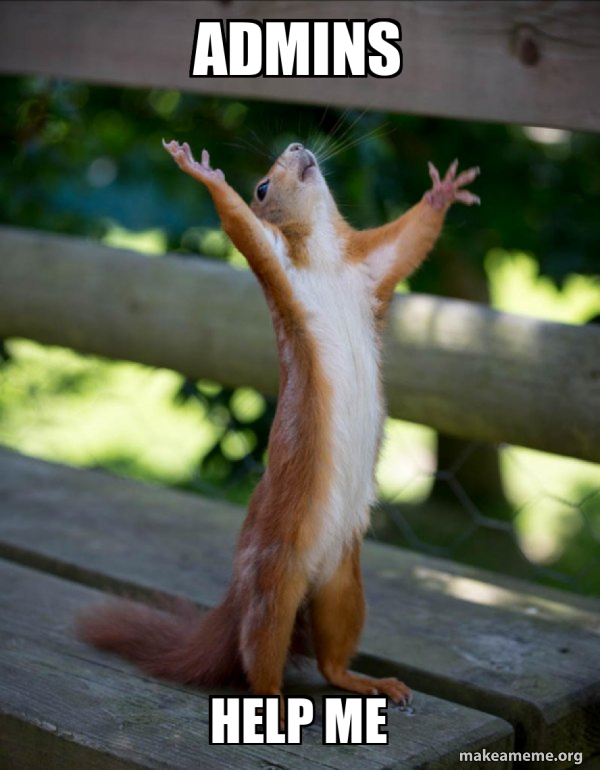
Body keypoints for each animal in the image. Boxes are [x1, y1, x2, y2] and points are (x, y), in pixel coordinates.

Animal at [77, 138, 479, 719]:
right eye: (262, 187)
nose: (296, 146)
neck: (327, 258)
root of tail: (239, 595)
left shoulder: (371, 267)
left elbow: (410, 240)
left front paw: (443, 192)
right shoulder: (277, 264)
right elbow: (240, 225)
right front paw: (204, 173)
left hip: (343, 586)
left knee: (331, 660)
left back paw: (369, 682)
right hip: (273, 583)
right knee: (259, 658)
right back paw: (278, 704)